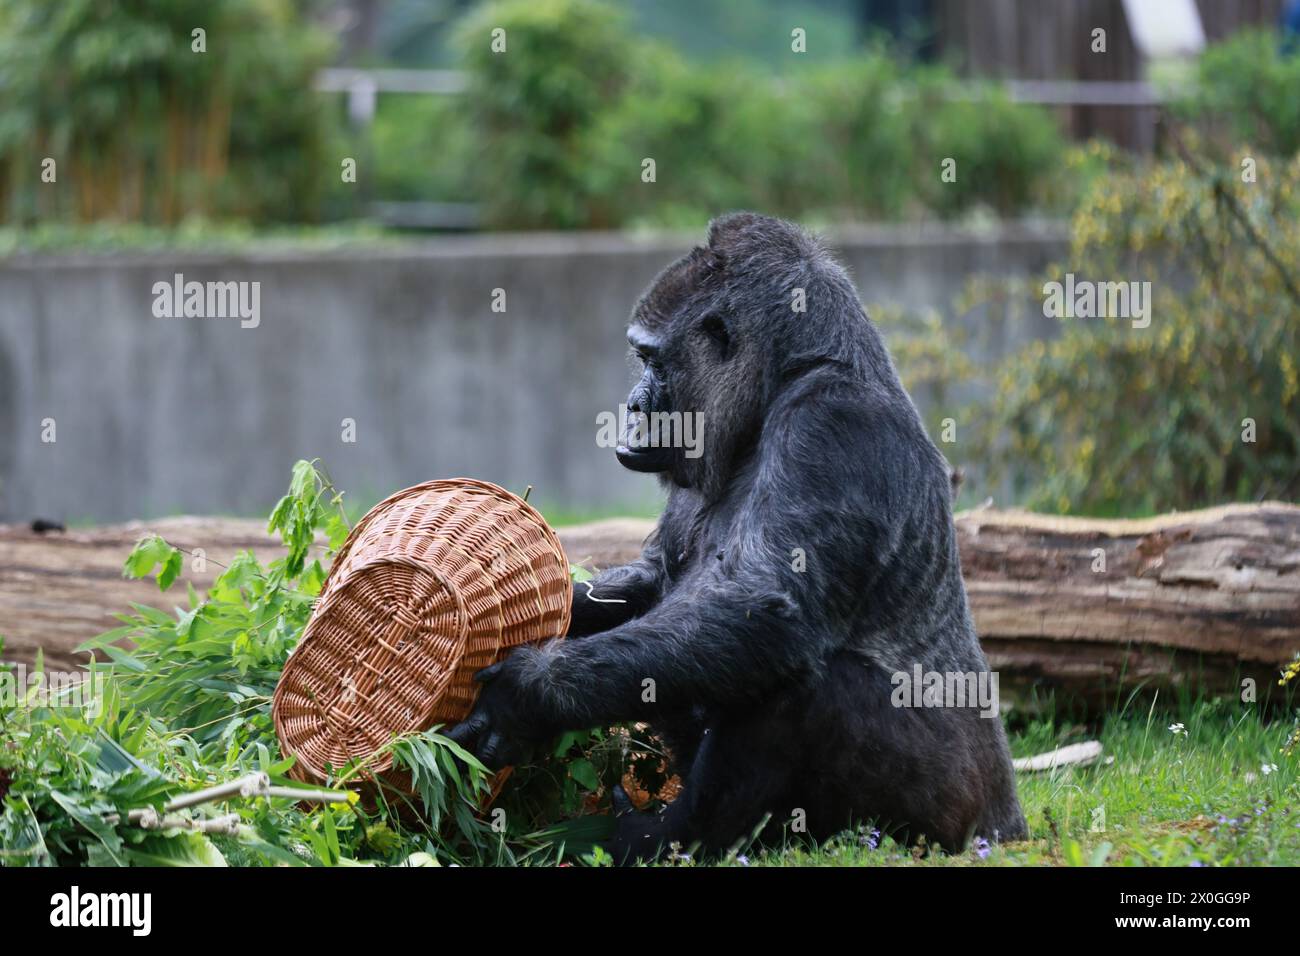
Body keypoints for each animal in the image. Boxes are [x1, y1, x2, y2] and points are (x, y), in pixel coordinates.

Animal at [449, 212, 1026, 861]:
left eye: (652, 360)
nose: (633, 406)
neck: (784, 381)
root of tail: (1009, 822)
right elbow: (651, 584)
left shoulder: (831, 424)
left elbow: (764, 606)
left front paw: (526, 695)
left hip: (947, 820)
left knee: (800, 678)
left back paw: (666, 837)